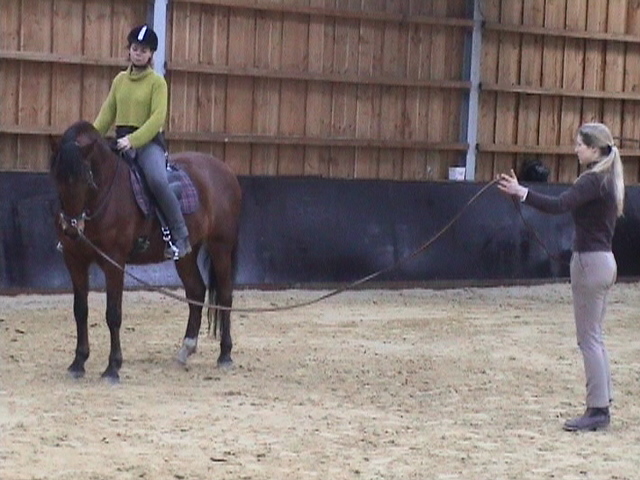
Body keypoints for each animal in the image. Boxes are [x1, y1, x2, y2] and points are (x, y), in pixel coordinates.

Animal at [50, 120, 242, 382]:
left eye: (86, 179)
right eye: (57, 178)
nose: (71, 229)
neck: (105, 194)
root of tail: (225, 171)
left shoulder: (114, 262)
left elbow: (113, 313)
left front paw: (113, 367)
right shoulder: (75, 261)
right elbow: (80, 310)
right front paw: (78, 362)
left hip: (220, 246)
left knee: (224, 296)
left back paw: (225, 355)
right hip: (186, 254)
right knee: (195, 291)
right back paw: (186, 349)